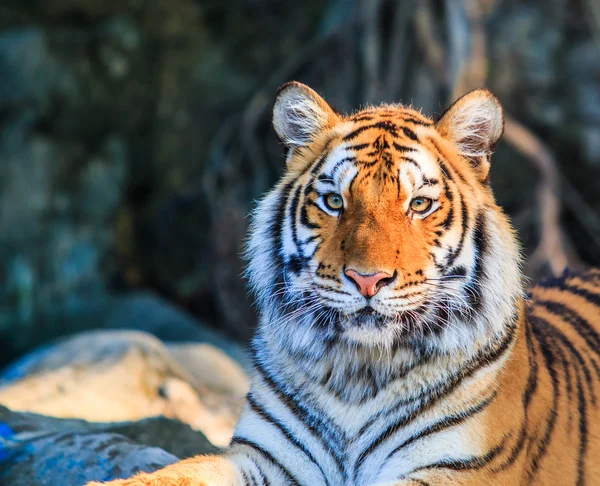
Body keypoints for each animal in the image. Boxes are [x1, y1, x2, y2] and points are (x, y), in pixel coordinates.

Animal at [89, 81, 600, 484]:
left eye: (419, 204)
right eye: (335, 201)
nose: (367, 279)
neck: (358, 373)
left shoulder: (454, 471)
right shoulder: (265, 458)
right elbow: (177, 472)